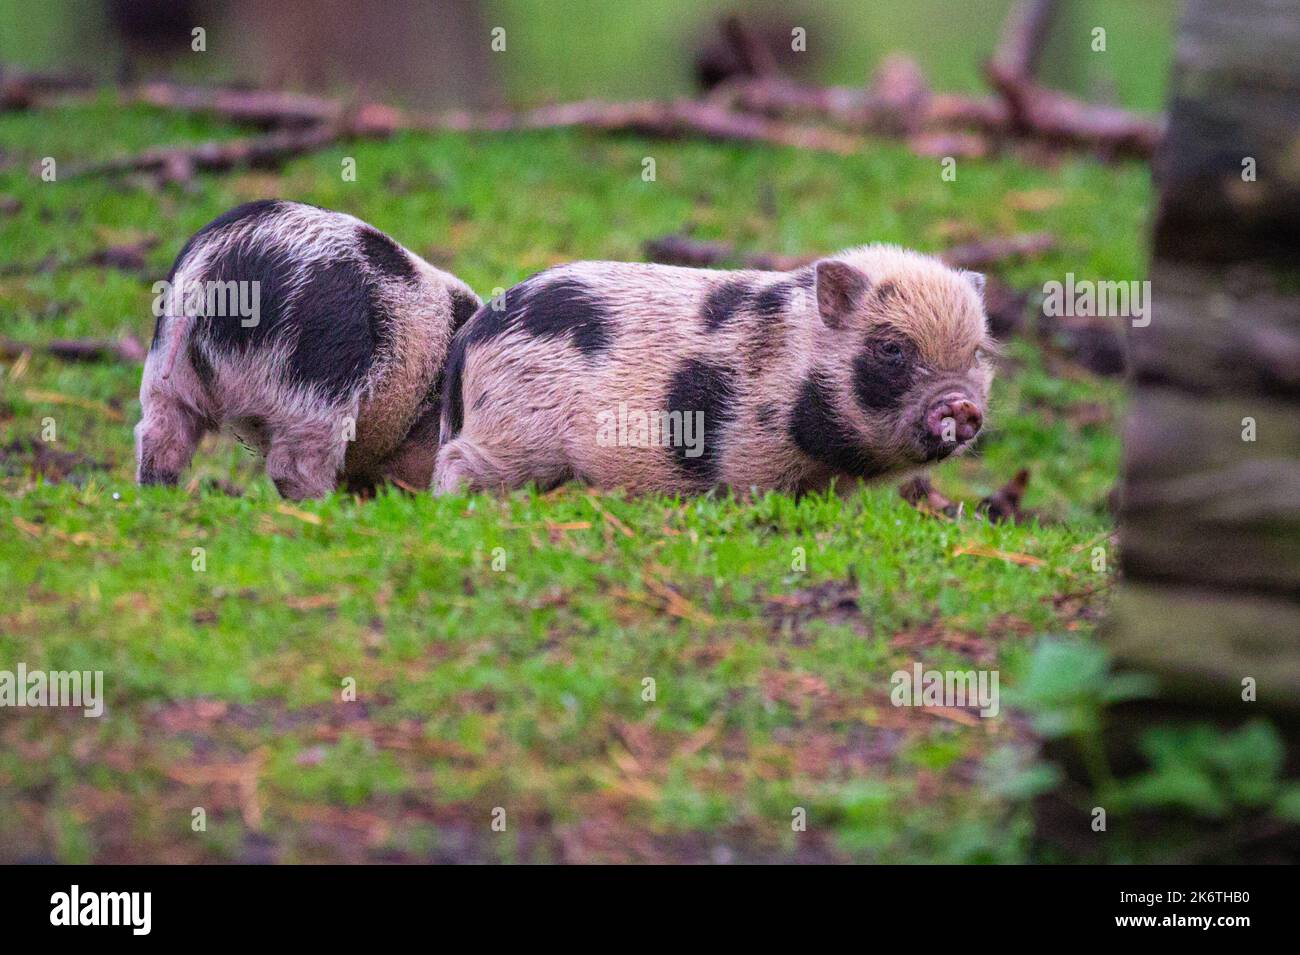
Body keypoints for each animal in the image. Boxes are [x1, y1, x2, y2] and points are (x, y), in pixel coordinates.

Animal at [136, 200, 481, 499]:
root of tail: (214, 265)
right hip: (319, 377)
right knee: (296, 462)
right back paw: (323, 505)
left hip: (168, 362)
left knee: (159, 432)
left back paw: (157, 493)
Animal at [434, 245, 993, 496]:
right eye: (892, 350)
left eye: (976, 353)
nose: (961, 404)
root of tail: (471, 337)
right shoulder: (752, 452)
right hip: (514, 432)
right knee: (457, 461)